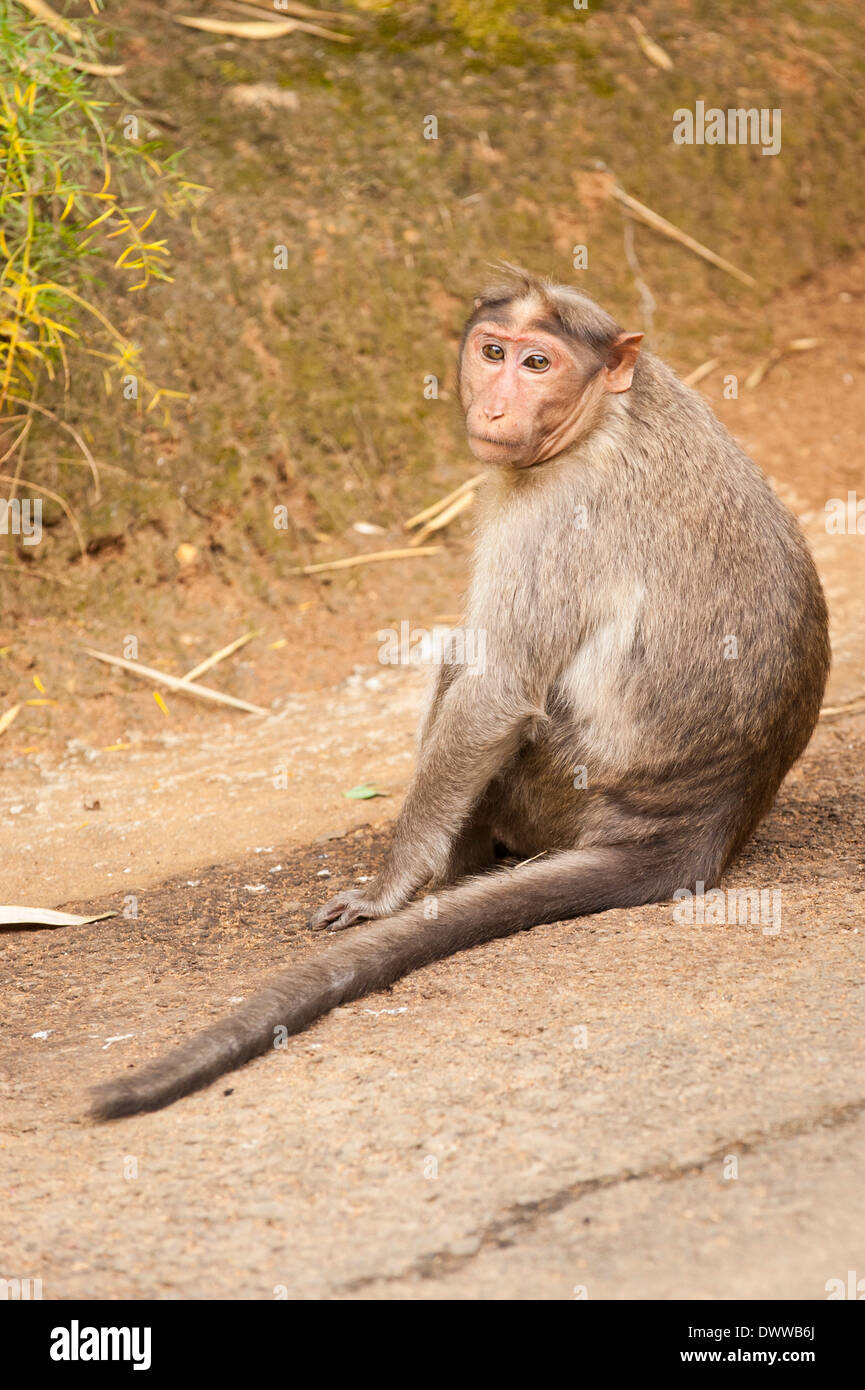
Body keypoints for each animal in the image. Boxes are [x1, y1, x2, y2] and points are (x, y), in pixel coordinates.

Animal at [90, 265, 829, 1119]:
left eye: (538, 363)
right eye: (493, 352)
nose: (495, 405)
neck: (605, 412)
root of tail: (696, 825)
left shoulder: (553, 512)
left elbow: (494, 691)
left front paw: (391, 890)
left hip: (556, 784)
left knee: (464, 664)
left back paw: (460, 868)